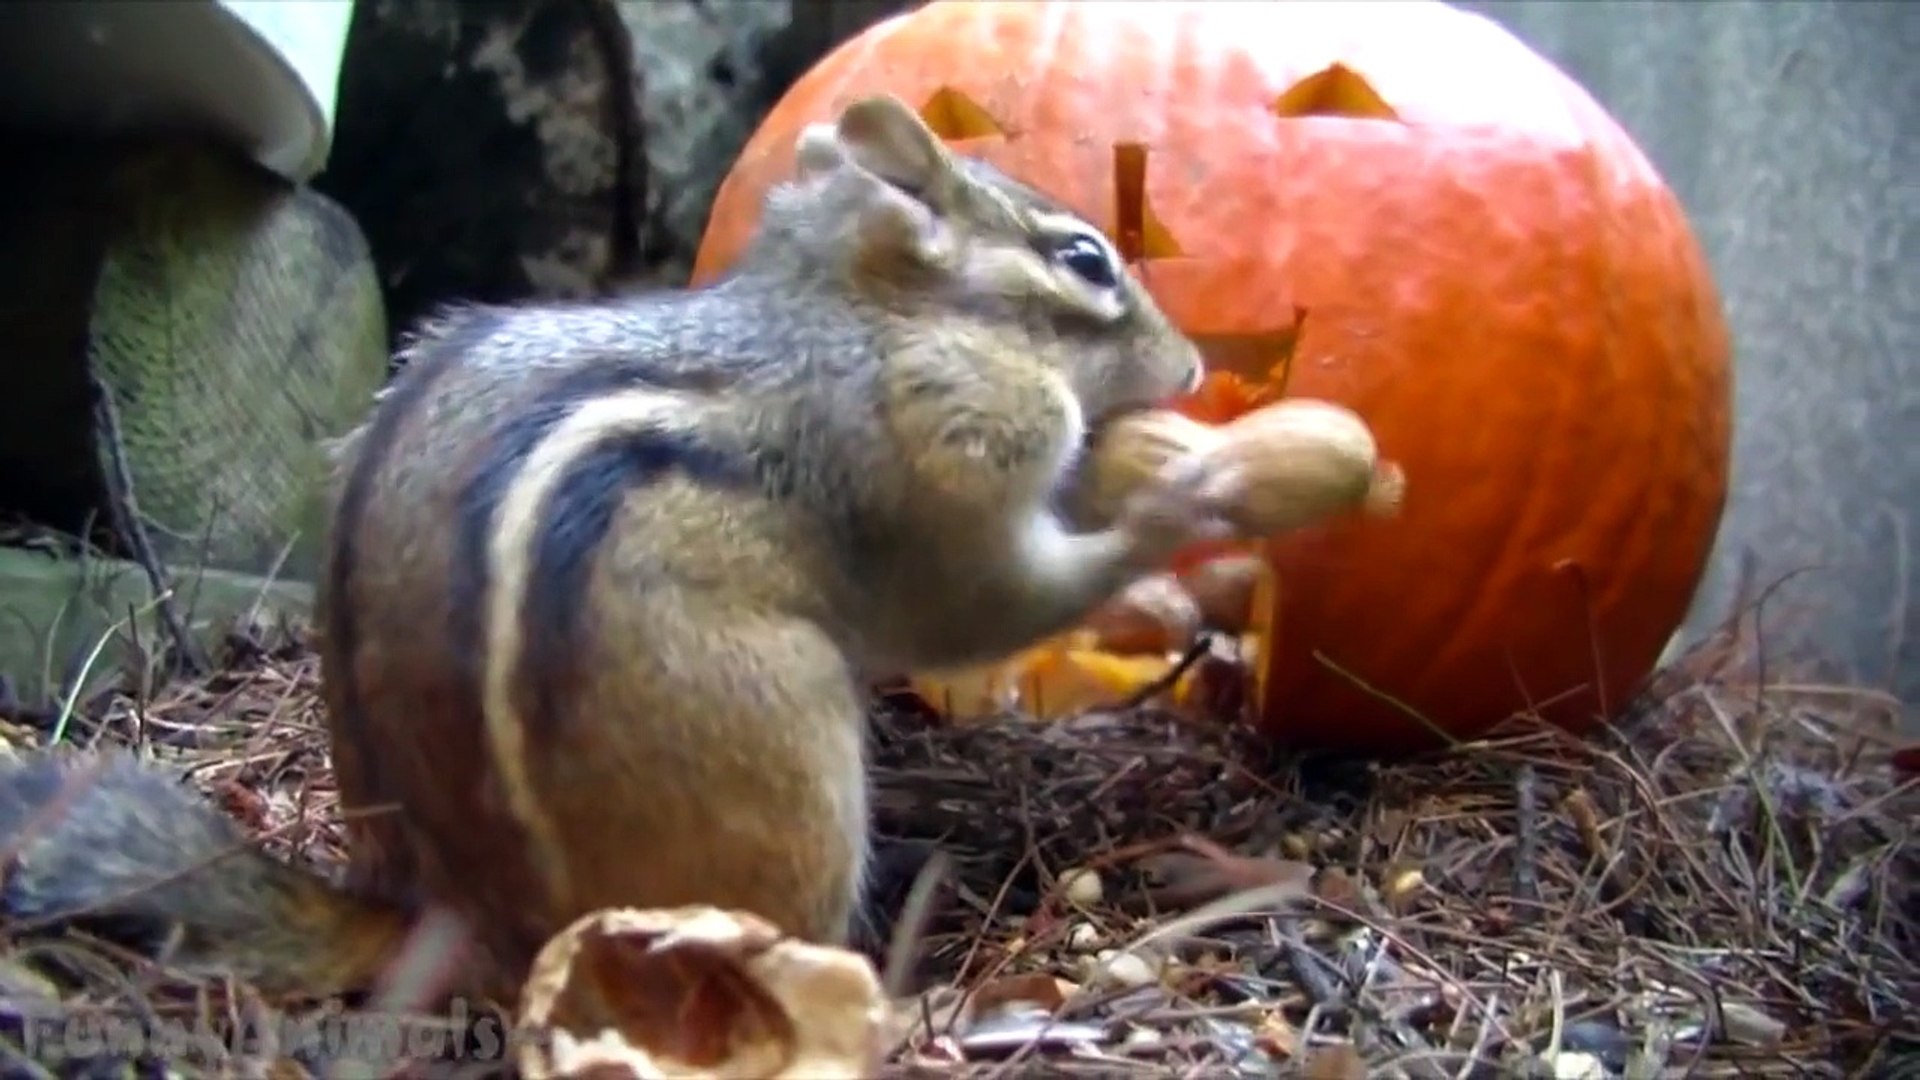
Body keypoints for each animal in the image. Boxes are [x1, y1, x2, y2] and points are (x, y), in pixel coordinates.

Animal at [0, 95, 1247, 1006]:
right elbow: (989, 605)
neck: (857, 316)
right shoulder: (943, 458)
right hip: (785, 760)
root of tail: (452, 915)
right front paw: (1175, 525)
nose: (1194, 365)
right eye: (1085, 258)